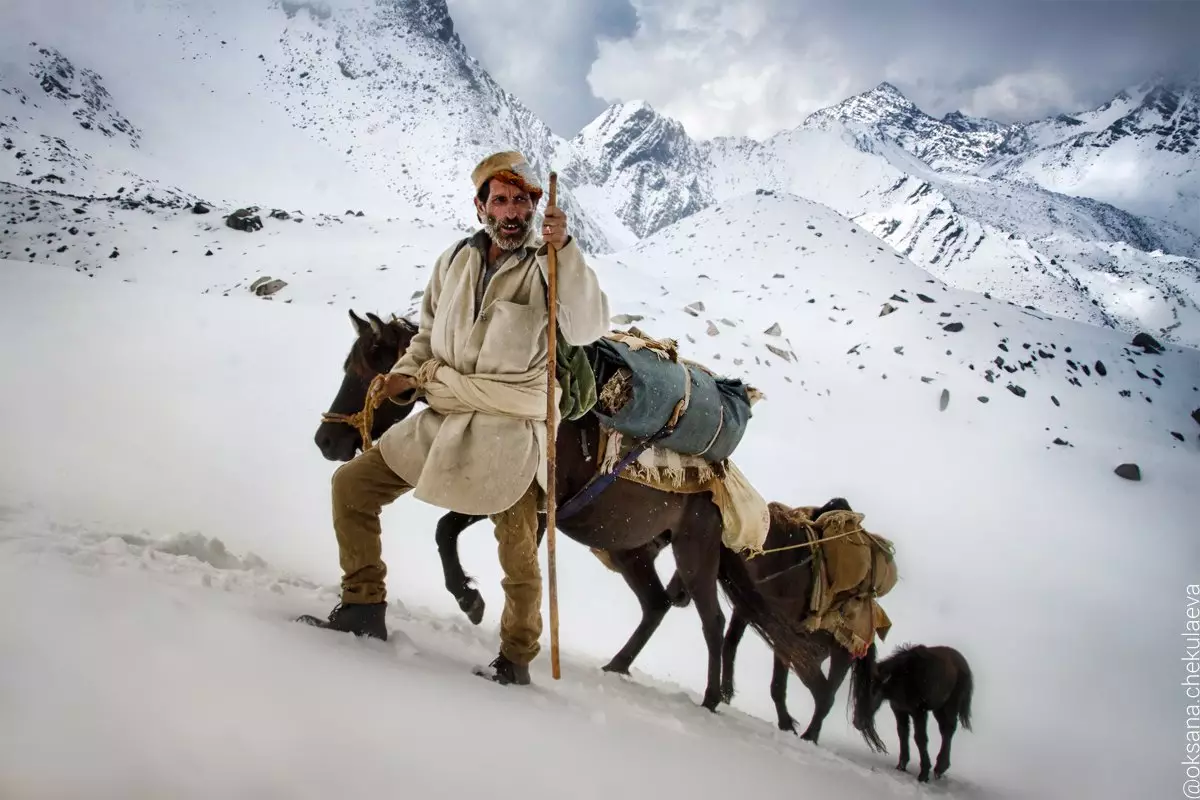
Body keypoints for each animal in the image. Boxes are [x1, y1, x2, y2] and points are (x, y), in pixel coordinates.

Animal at [312, 309, 825, 710]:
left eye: (367, 371)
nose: (326, 441)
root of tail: (721, 477)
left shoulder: (529, 507)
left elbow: (449, 531)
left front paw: (472, 603)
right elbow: (449, 533)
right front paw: (474, 603)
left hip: (694, 552)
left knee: (712, 621)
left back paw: (711, 698)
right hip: (630, 549)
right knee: (656, 604)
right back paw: (617, 665)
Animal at [844, 642, 974, 782]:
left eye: (874, 692)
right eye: (857, 691)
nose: (858, 722)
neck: (904, 679)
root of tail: (964, 663)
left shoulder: (919, 712)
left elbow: (920, 738)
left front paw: (923, 773)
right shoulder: (899, 710)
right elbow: (903, 733)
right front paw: (901, 765)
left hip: (949, 706)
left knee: (948, 730)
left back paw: (940, 767)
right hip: (938, 709)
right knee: (945, 731)